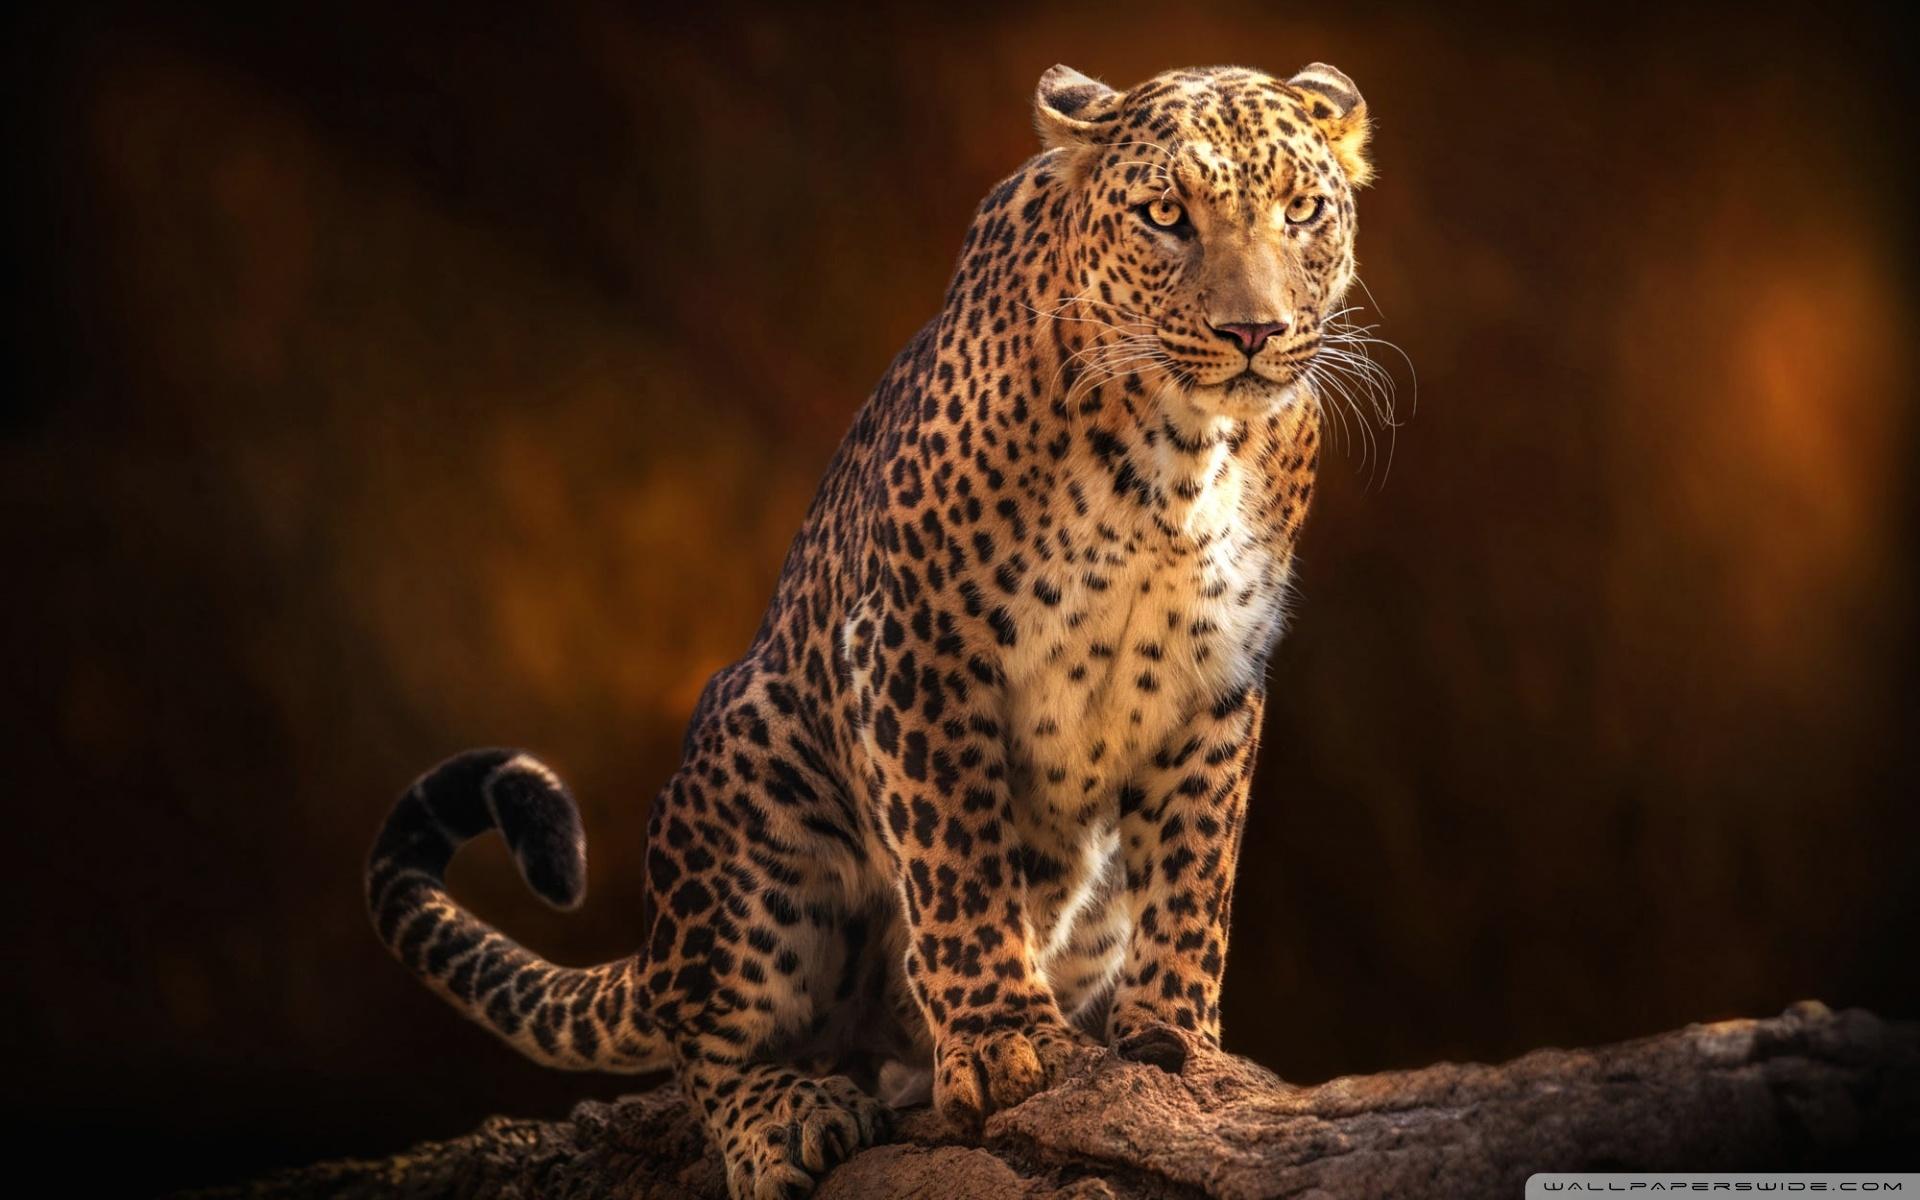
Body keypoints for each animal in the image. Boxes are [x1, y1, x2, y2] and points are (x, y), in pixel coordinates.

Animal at [367, 60, 1377, 1200]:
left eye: (1303, 212)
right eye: (1168, 216)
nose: (1254, 332)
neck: (1184, 453)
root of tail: (656, 951)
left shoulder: (1218, 679)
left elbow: (1198, 869)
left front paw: (1175, 1043)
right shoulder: (913, 640)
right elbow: (957, 857)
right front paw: (1004, 1042)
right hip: (757, 768)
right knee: (712, 1042)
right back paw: (788, 1117)